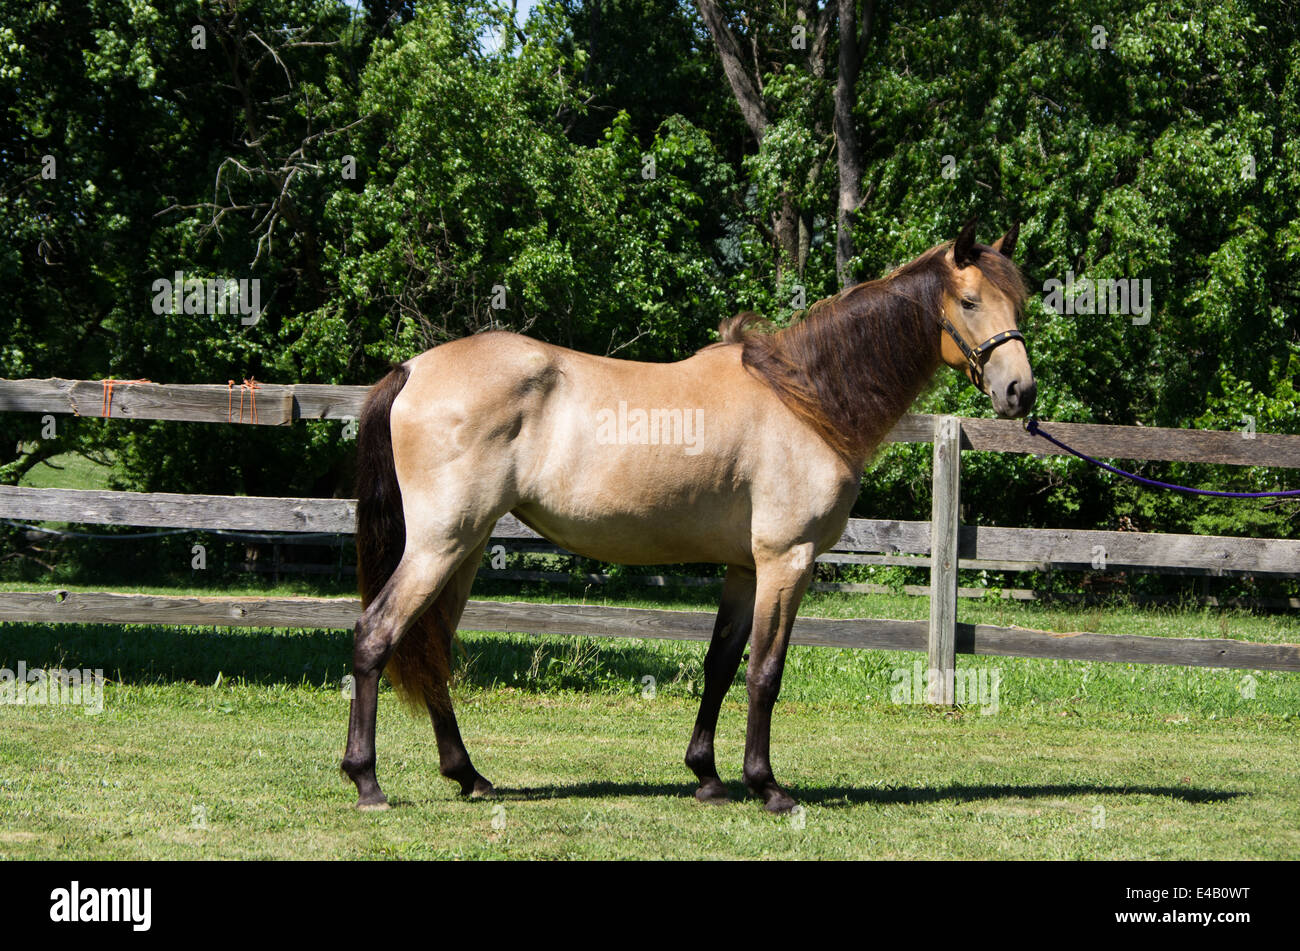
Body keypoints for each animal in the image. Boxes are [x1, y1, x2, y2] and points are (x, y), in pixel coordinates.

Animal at [341, 219, 1035, 813]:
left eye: (1020, 305)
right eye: (970, 301)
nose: (1019, 393)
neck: (805, 399)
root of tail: (414, 369)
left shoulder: (745, 568)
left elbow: (721, 664)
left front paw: (707, 776)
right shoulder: (787, 560)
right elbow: (764, 673)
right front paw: (768, 787)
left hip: (465, 548)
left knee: (431, 648)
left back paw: (469, 775)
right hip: (440, 544)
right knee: (377, 635)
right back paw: (367, 780)